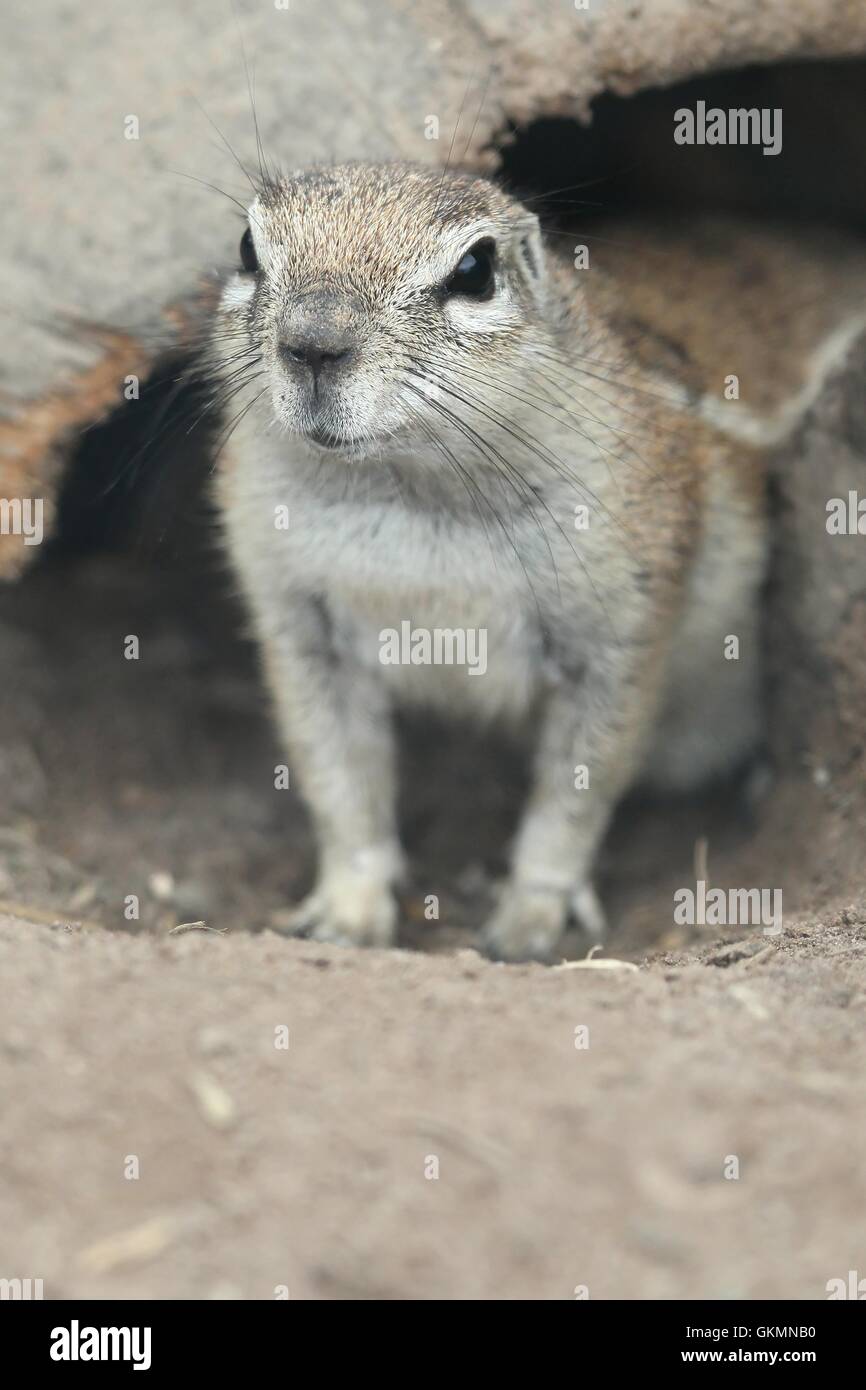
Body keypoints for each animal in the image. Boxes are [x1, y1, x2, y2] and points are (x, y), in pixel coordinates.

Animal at [210, 161, 866, 961]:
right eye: (248, 248)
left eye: (474, 271)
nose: (313, 343)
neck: (408, 491)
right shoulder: (299, 624)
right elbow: (337, 773)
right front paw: (347, 909)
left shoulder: (617, 628)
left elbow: (578, 786)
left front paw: (528, 919)